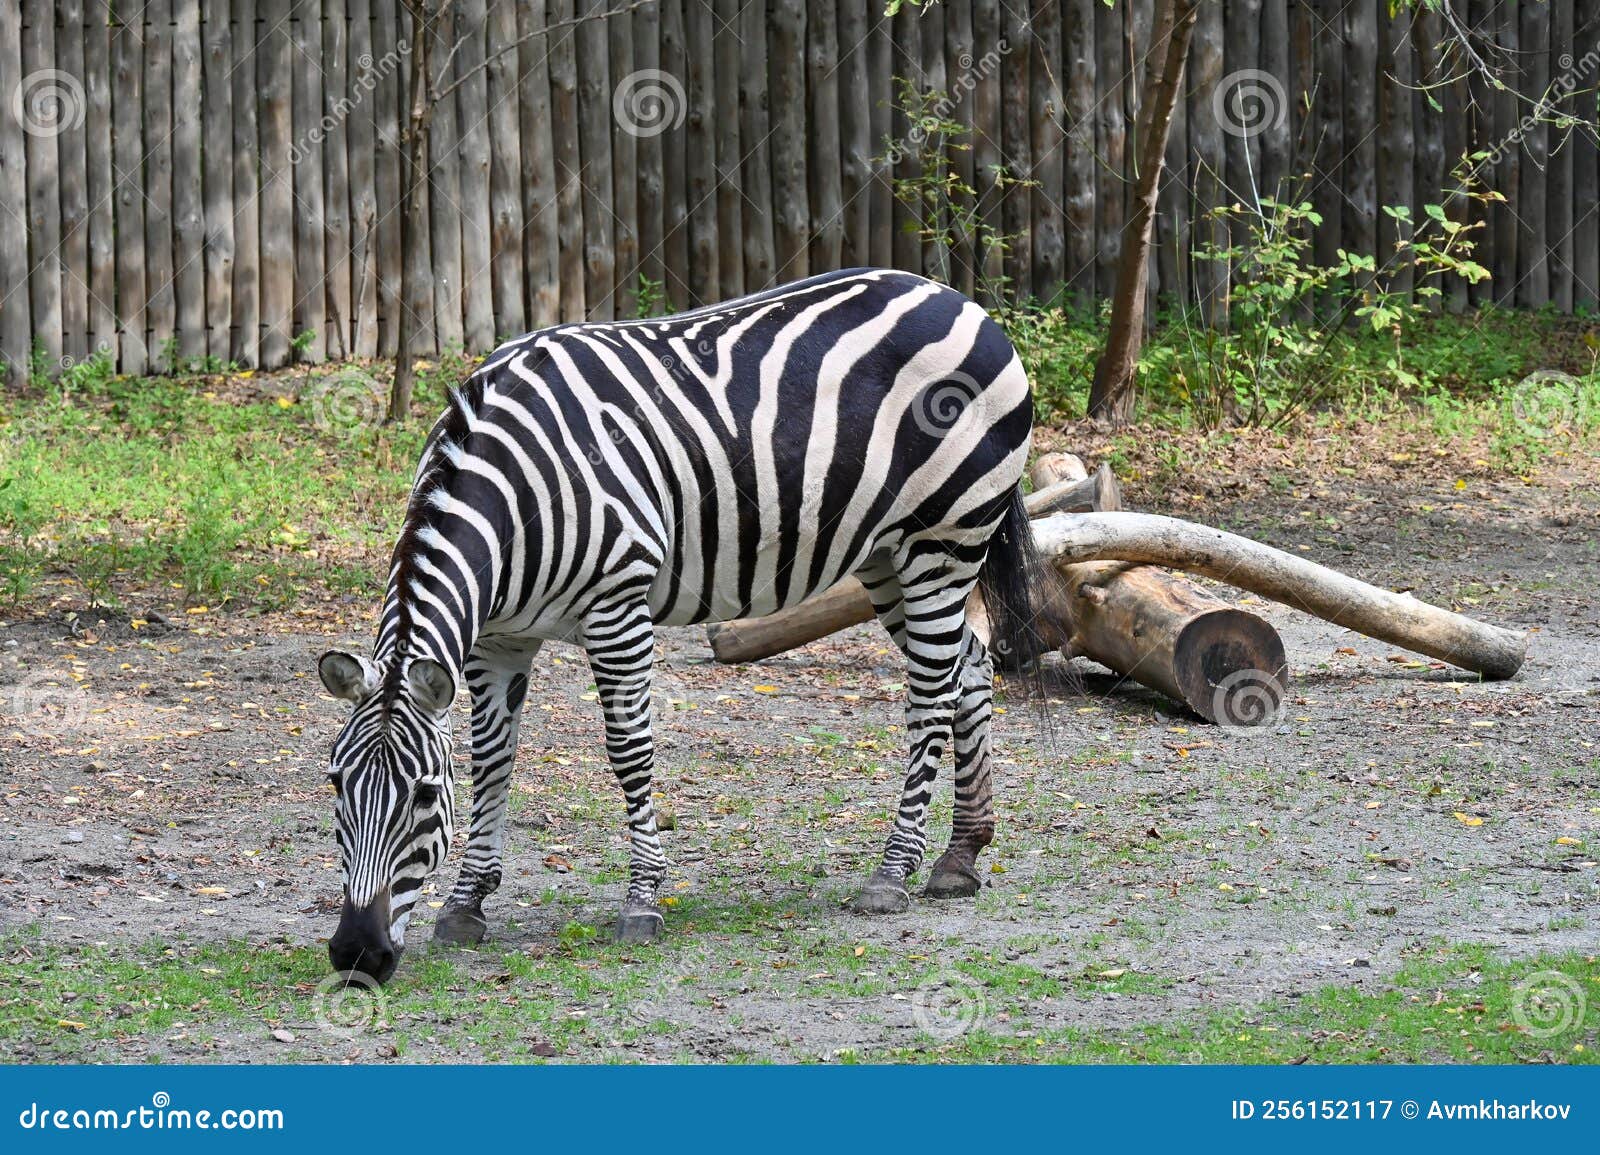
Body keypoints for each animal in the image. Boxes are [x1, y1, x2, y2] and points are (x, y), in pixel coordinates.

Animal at [319, 268, 1041, 983]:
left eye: (422, 796)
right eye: (334, 785)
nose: (357, 954)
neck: (516, 502)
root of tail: (961, 300)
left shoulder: (617, 607)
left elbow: (629, 752)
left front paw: (642, 899)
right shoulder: (498, 639)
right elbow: (493, 759)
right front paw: (466, 903)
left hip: (942, 541)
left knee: (932, 696)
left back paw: (893, 872)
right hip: (886, 556)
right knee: (970, 667)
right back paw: (960, 856)